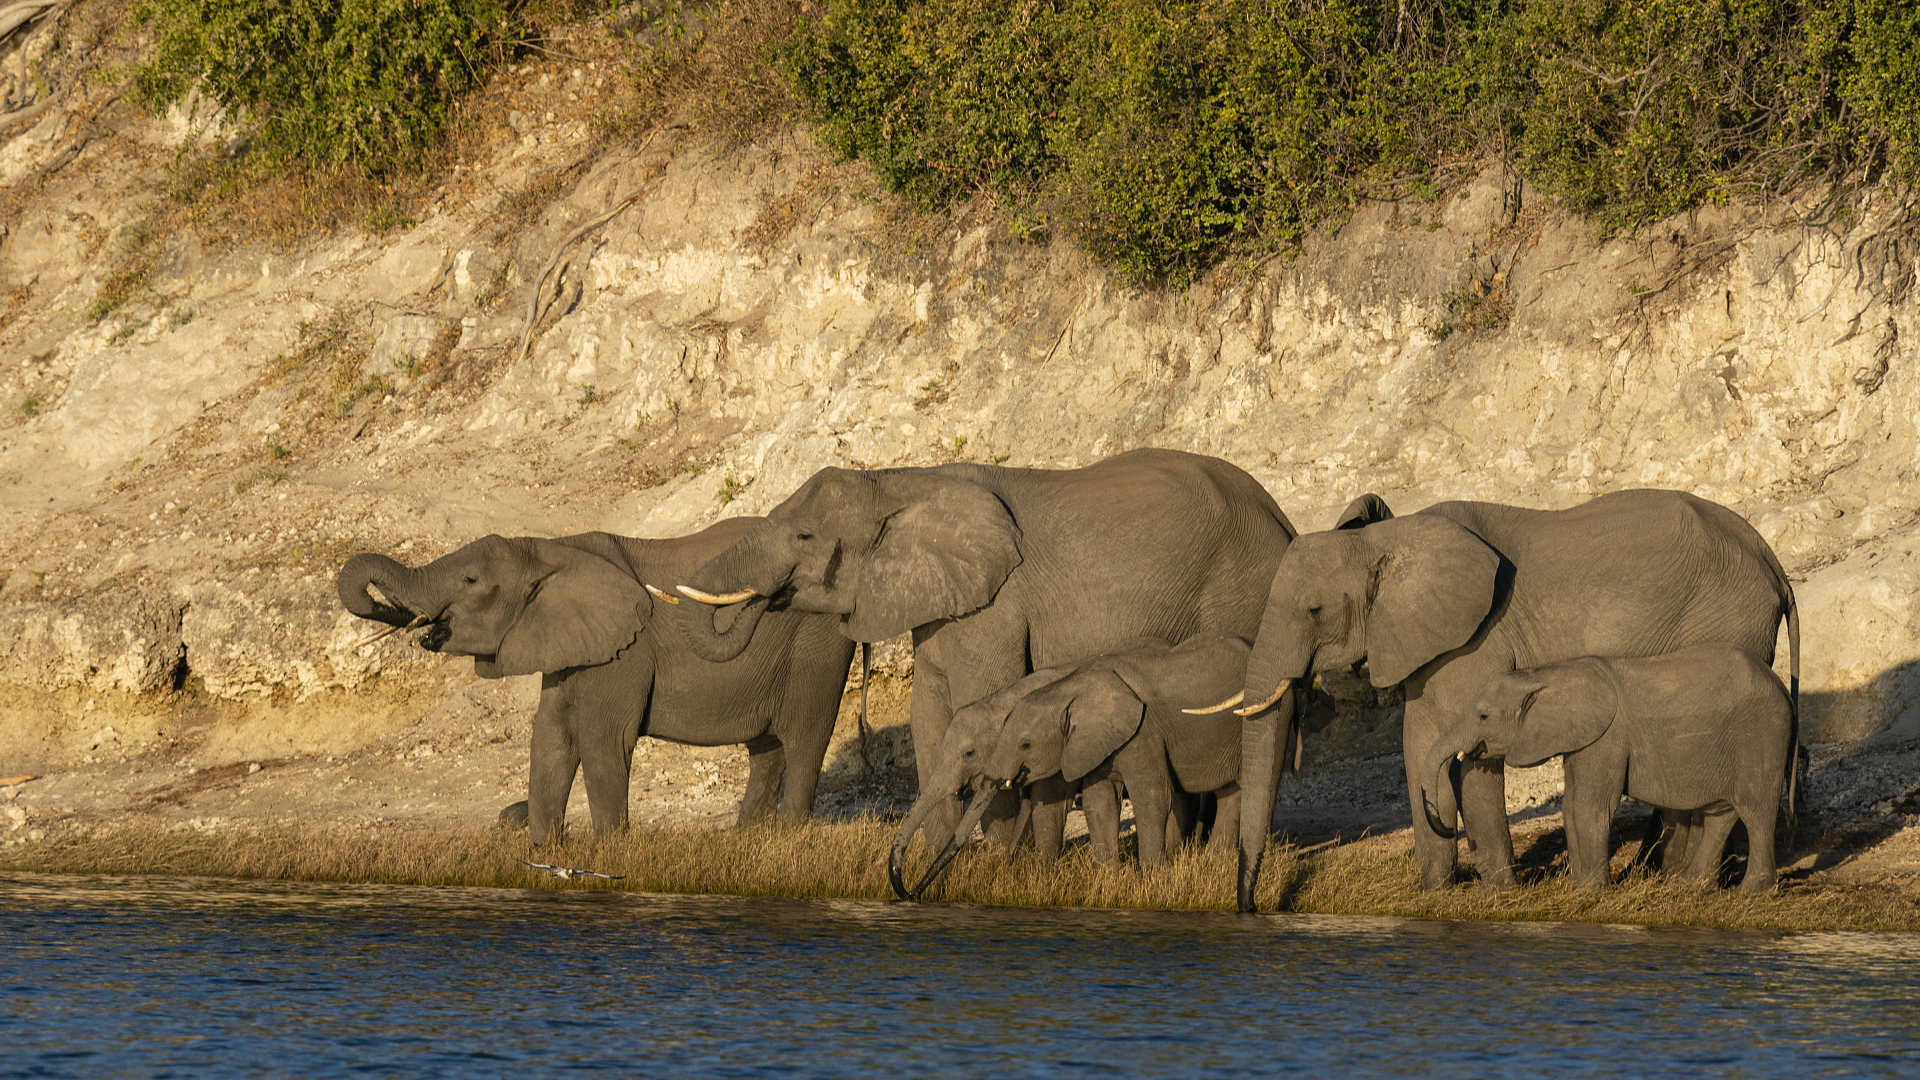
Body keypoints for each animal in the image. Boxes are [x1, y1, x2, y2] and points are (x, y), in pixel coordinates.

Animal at [336, 519, 858, 844]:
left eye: (469, 581)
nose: (420, 626)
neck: (549, 548)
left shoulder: (624, 652)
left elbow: (601, 739)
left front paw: (611, 852)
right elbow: (549, 737)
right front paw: (544, 852)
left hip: (818, 643)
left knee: (805, 738)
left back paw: (789, 837)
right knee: (766, 747)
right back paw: (745, 840)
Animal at [894, 634, 1261, 900]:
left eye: (969, 753)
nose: (911, 893)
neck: (1004, 700)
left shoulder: (1059, 751)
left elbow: (1048, 804)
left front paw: (1039, 872)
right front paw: (1015, 866)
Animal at [1422, 644, 1796, 893]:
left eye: (1484, 716)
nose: (1449, 827)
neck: (1548, 674)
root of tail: (1782, 687)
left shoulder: (1606, 738)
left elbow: (1591, 807)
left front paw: (1593, 891)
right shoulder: (1583, 740)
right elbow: (1573, 806)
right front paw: (1579, 889)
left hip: (1761, 735)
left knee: (1756, 810)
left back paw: (1752, 893)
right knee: (1722, 812)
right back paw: (1690, 887)